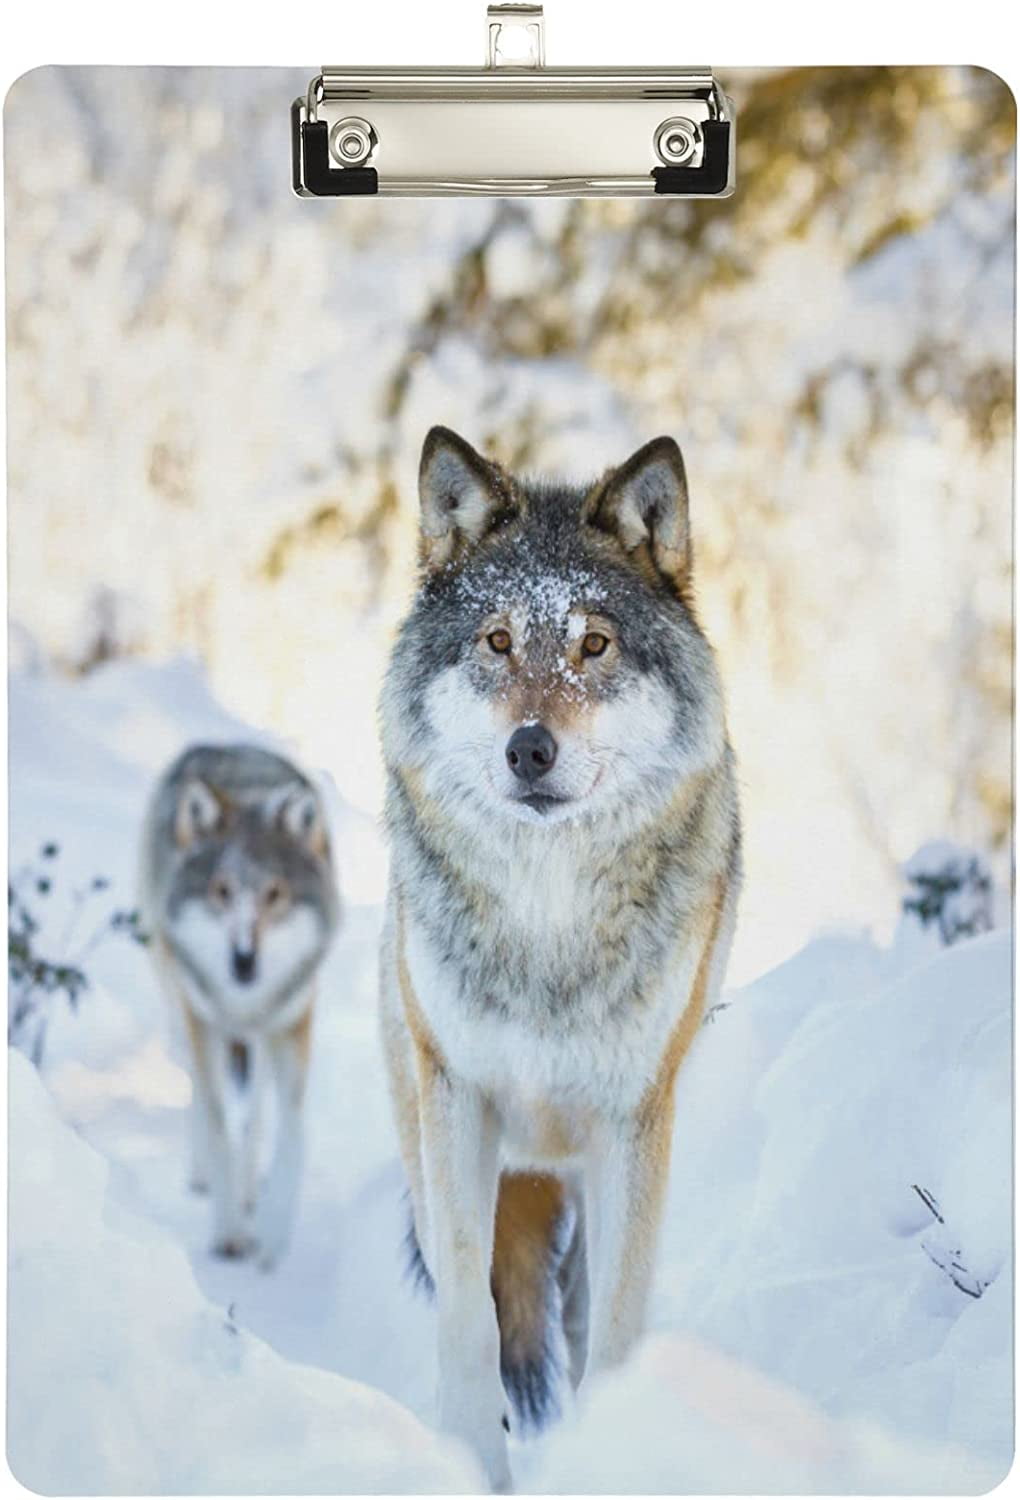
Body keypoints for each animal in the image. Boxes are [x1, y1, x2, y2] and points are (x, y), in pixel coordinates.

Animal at [141, 744, 340, 1268]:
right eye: (222, 891)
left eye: (275, 894)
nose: (244, 961)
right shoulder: (203, 1021)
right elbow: (215, 1122)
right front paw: (229, 1230)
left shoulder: (291, 1023)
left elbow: (291, 1130)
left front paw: (271, 1226)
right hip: (178, 1004)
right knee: (197, 1087)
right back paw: (203, 1174)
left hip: (263, 1038)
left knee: (256, 1114)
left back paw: (253, 1189)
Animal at [379, 426, 741, 1487]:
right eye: (499, 641)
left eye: (594, 644)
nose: (530, 750)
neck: (546, 922)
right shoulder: (457, 1103)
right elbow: (470, 1325)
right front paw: (471, 1467)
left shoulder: (633, 1122)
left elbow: (612, 1336)